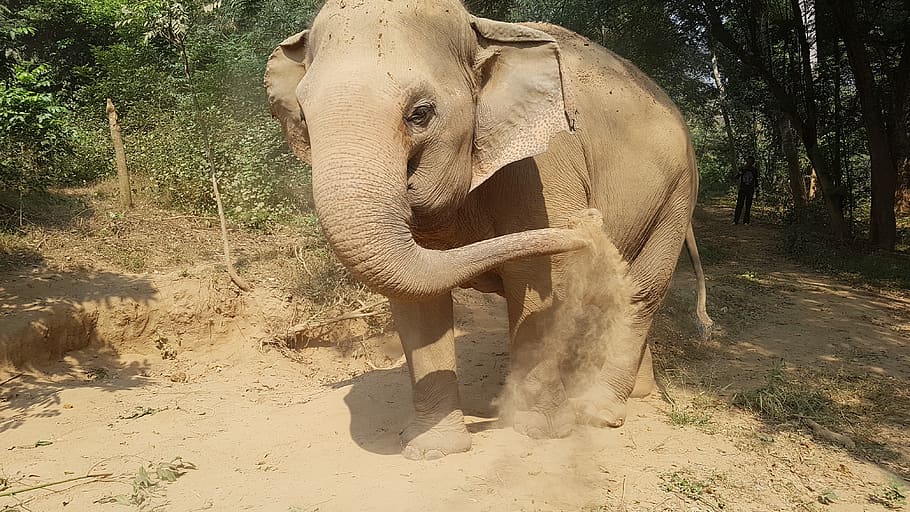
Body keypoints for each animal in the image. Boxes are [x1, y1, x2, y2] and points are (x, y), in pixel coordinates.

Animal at [264, 0, 714, 460]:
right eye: (303, 117)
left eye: (420, 113)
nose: (591, 224)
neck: (480, 30)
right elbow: (416, 297)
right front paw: (432, 449)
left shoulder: (545, 166)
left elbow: (541, 280)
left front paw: (535, 430)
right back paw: (636, 393)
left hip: (677, 195)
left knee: (640, 293)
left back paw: (599, 412)